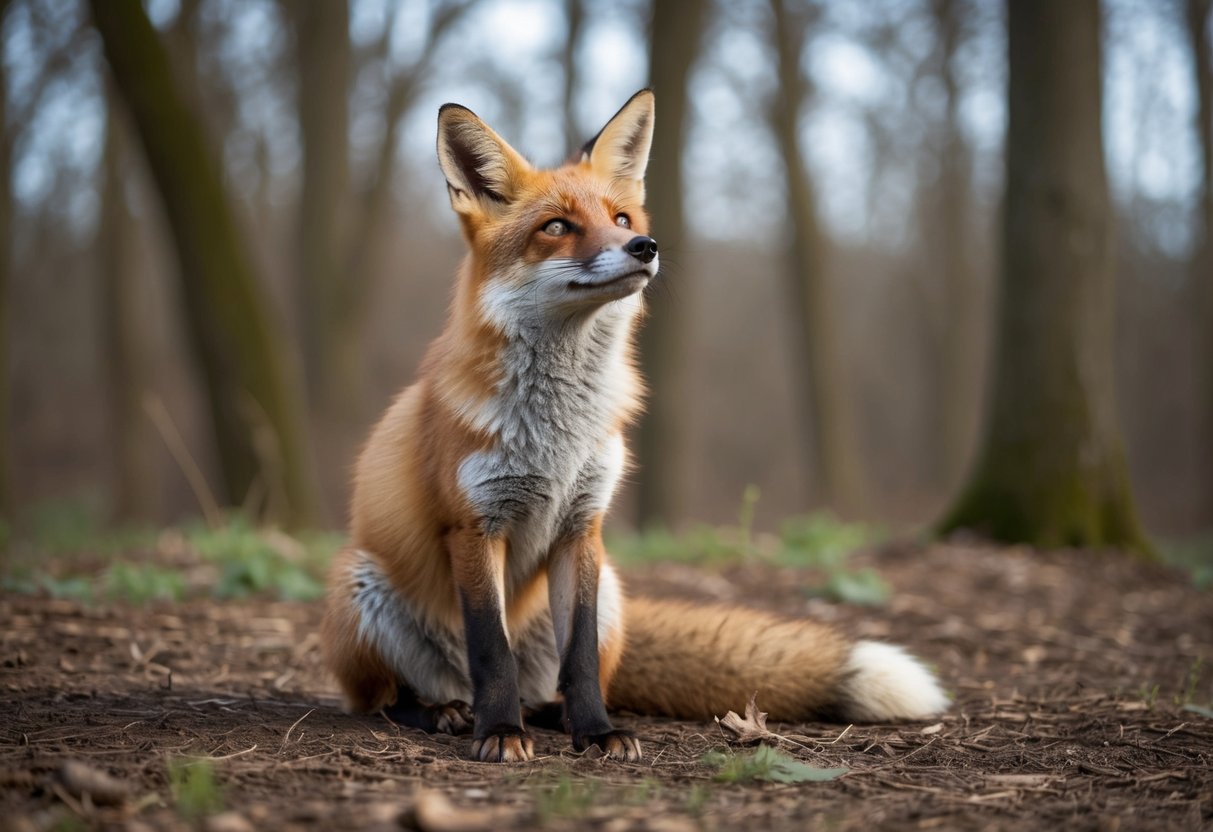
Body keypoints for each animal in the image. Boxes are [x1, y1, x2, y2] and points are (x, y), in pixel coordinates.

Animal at [321, 89, 948, 763]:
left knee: (556, 681)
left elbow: (580, 658)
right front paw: (500, 732)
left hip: (613, 592)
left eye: (621, 219)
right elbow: (492, 650)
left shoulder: (582, 527)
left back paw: (549, 715)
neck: (558, 434)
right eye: (557, 227)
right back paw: (447, 712)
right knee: (383, 697)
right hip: (356, 588)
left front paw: (595, 732)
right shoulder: (474, 526)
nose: (645, 245)